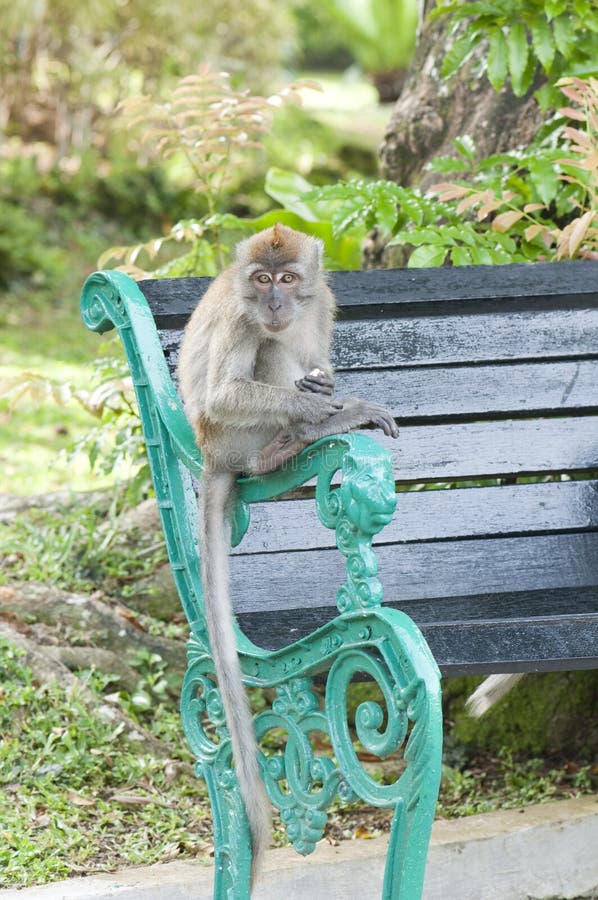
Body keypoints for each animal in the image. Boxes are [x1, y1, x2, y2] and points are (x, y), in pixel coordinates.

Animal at [177, 224, 398, 887]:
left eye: (288, 278)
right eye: (261, 280)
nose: (274, 303)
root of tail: (213, 457)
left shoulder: (321, 302)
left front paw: (329, 390)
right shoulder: (241, 319)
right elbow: (227, 389)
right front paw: (319, 407)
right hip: (228, 436)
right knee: (262, 364)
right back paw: (292, 440)